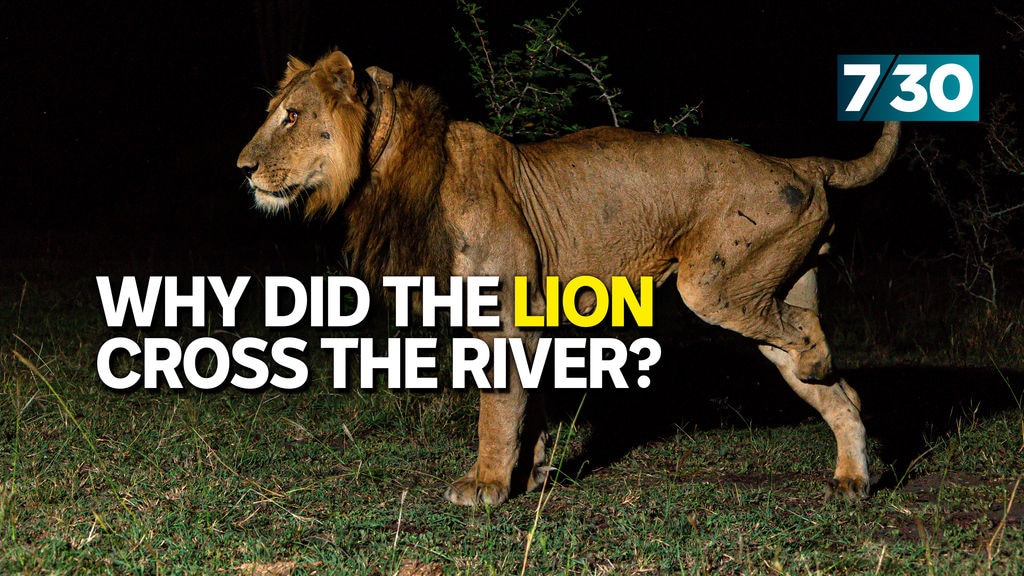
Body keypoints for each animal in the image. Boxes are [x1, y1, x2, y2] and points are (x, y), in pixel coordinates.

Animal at [238, 50, 899, 505]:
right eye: (273, 113)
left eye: (292, 116)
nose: (242, 168)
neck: (387, 172)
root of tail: (797, 162)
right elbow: (526, 407)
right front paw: (529, 476)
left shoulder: (504, 321)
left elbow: (498, 409)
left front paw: (485, 485)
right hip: (766, 288)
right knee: (837, 390)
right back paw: (851, 478)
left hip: (714, 286)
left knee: (808, 334)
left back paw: (821, 368)